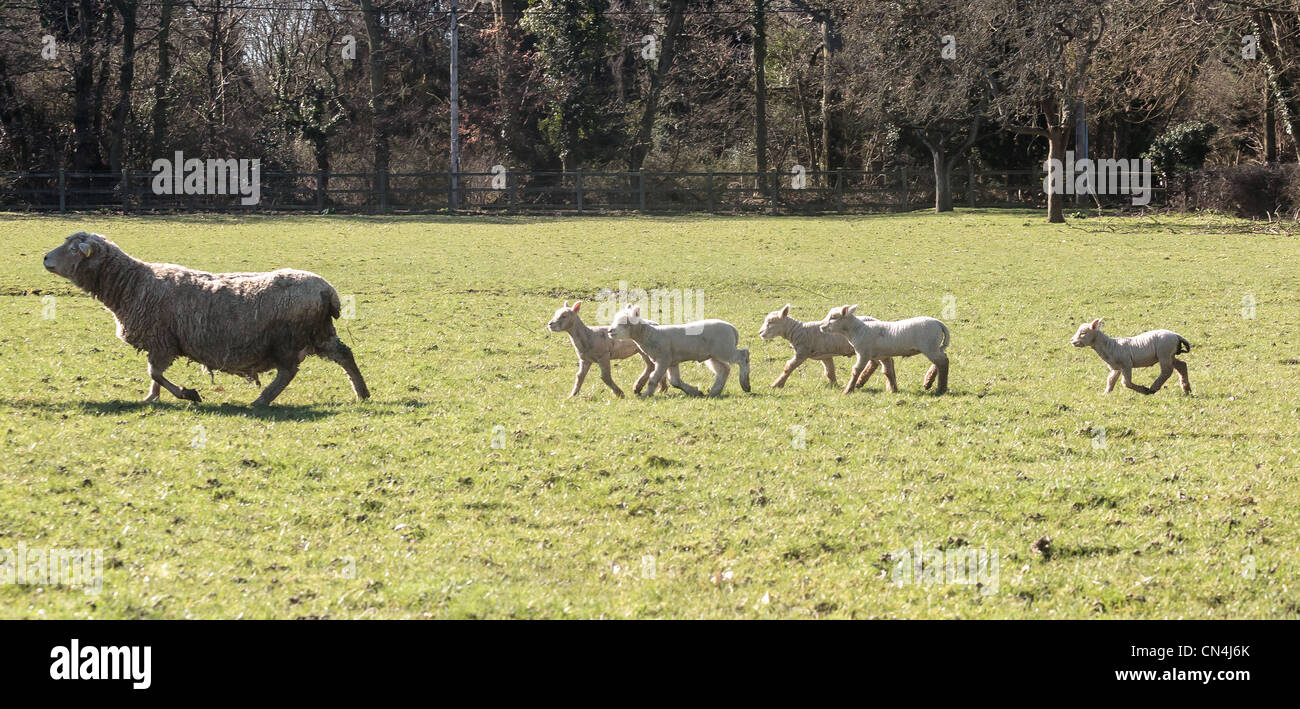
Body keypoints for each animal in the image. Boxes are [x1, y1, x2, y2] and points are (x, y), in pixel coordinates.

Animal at [42, 231, 370, 406]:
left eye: (73, 248)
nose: (45, 258)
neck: (132, 284)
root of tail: (327, 291)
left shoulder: (163, 341)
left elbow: (155, 372)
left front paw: (188, 394)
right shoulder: (160, 342)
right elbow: (154, 376)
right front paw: (151, 399)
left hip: (287, 339)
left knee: (288, 372)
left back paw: (261, 400)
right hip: (320, 333)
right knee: (345, 355)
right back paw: (362, 393)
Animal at [608, 305, 750, 397]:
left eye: (624, 323)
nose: (610, 331)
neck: (651, 335)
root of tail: (732, 328)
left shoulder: (663, 359)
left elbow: (653, 379)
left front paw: (646, 395)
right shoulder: (672, 361)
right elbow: (675, 381)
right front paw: (694, 391)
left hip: (724, 349)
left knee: (743, 355)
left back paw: (745, 383)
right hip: (714, 354)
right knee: (724, 370)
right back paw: (714, 392)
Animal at [757, 303, 893, 389]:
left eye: (771, 322)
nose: (760, 332)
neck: (798, 331)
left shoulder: (802, 352)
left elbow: (788, 367)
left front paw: (776, 385)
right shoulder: (825, 355)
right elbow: (829, 372)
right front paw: (835, 386)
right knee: (877, 363)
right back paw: (864, 382)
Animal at [819, 305, 951, 395]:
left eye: (833, 317)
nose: (821, 327)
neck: (857, 330)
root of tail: (938, 323)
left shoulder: (863, 352)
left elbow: (856, 370)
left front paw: (848, 390)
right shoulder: (882, 355)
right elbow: (888, 372)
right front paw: (893, 389)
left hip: (929, 346)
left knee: (943, 362)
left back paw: (941, 389)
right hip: (933, 347)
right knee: (942, 359)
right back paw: (930, 382)